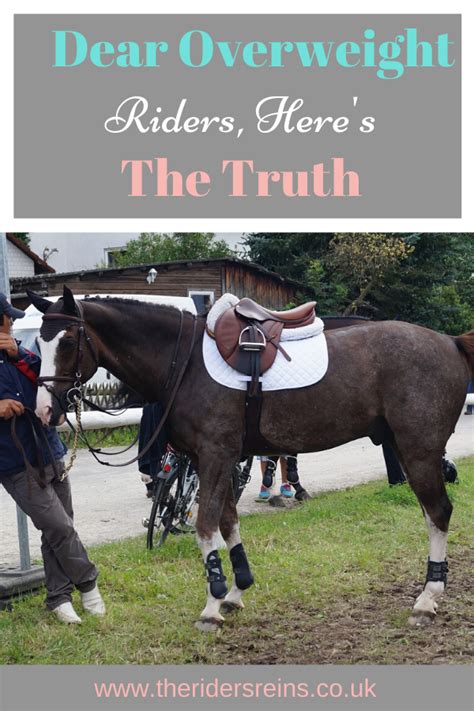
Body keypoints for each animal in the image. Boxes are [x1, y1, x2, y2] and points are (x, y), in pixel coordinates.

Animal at [30, 287, 474, 631]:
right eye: (36, 345)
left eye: (67, 342)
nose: (44, 411)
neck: (184, 362)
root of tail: (450, 341)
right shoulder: (217, 459)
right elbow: (228, 524)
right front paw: (235, 590)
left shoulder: (214, 456)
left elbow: (206, 528)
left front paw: (211, 606)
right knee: (431, 513)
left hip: (419, 451)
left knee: (438, 513)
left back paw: (427, 599)